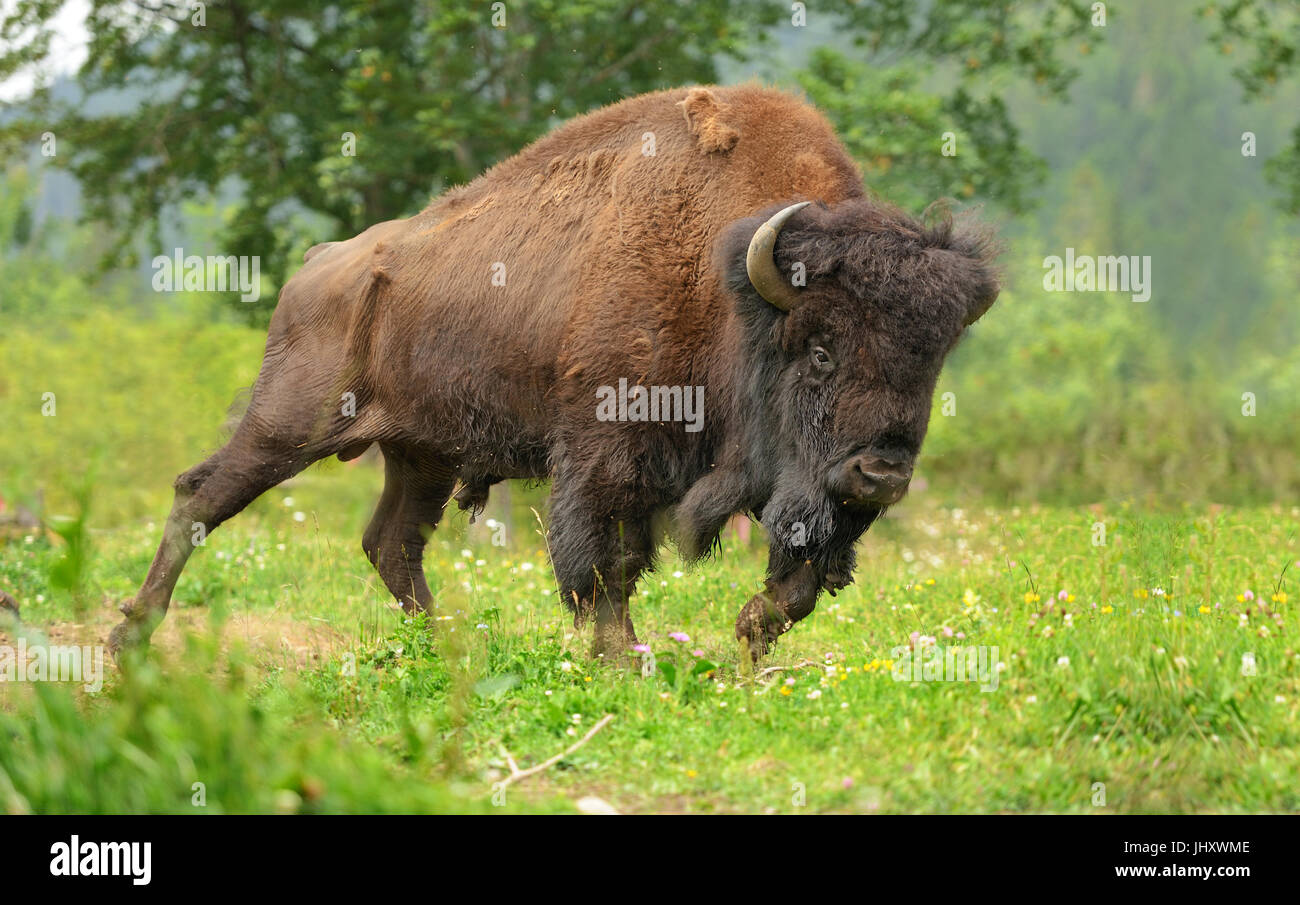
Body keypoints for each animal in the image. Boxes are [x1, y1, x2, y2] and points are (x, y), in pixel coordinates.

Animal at [110, 85, 999, 662]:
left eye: (930, 359)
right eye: (819, 349)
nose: (882, 473)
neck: (730, 285)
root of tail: (322, 261)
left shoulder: (799, 491)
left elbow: (795, 581)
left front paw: (745, 639)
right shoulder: (605, 453)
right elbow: (603, 564)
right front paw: (623, 659)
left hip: (421, 452)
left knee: (391, 542)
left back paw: (449, 646)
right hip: (289, 421)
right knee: (201, 496)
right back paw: (129, 634)